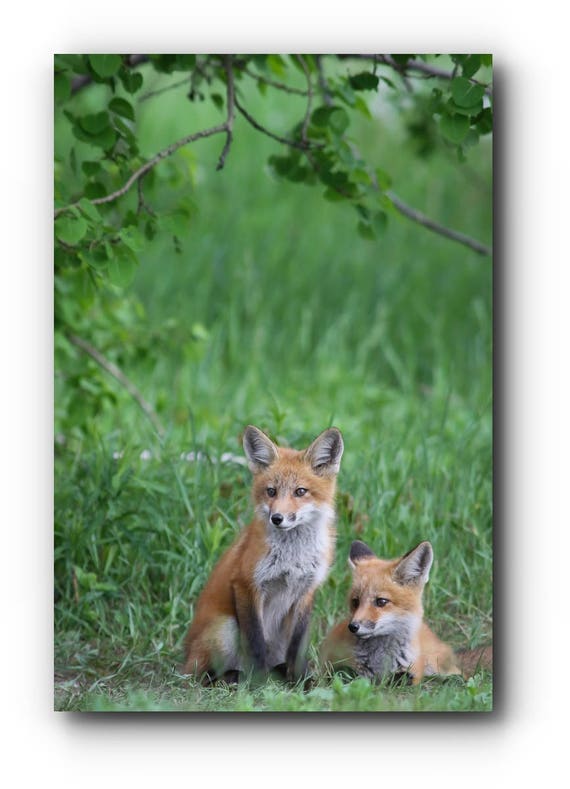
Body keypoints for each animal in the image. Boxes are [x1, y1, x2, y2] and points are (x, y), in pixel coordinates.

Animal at [183, 424, 344, 684]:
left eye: (300, 491)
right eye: (271, 491)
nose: (277, 518)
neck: (292, 558)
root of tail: (185, 653)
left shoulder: (306, 590)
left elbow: (297, 647)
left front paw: (300, 681)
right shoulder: (247, 585)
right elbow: (255, 642)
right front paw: (257, 683)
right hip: (226, 628)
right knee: (200, 676)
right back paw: (235, 677)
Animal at [321, 539, 492, 684]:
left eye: (381, 602)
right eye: (355, 602)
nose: (353, 626)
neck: (381, 659)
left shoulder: (411, 672)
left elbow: (402, 678)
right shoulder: (335, 666)